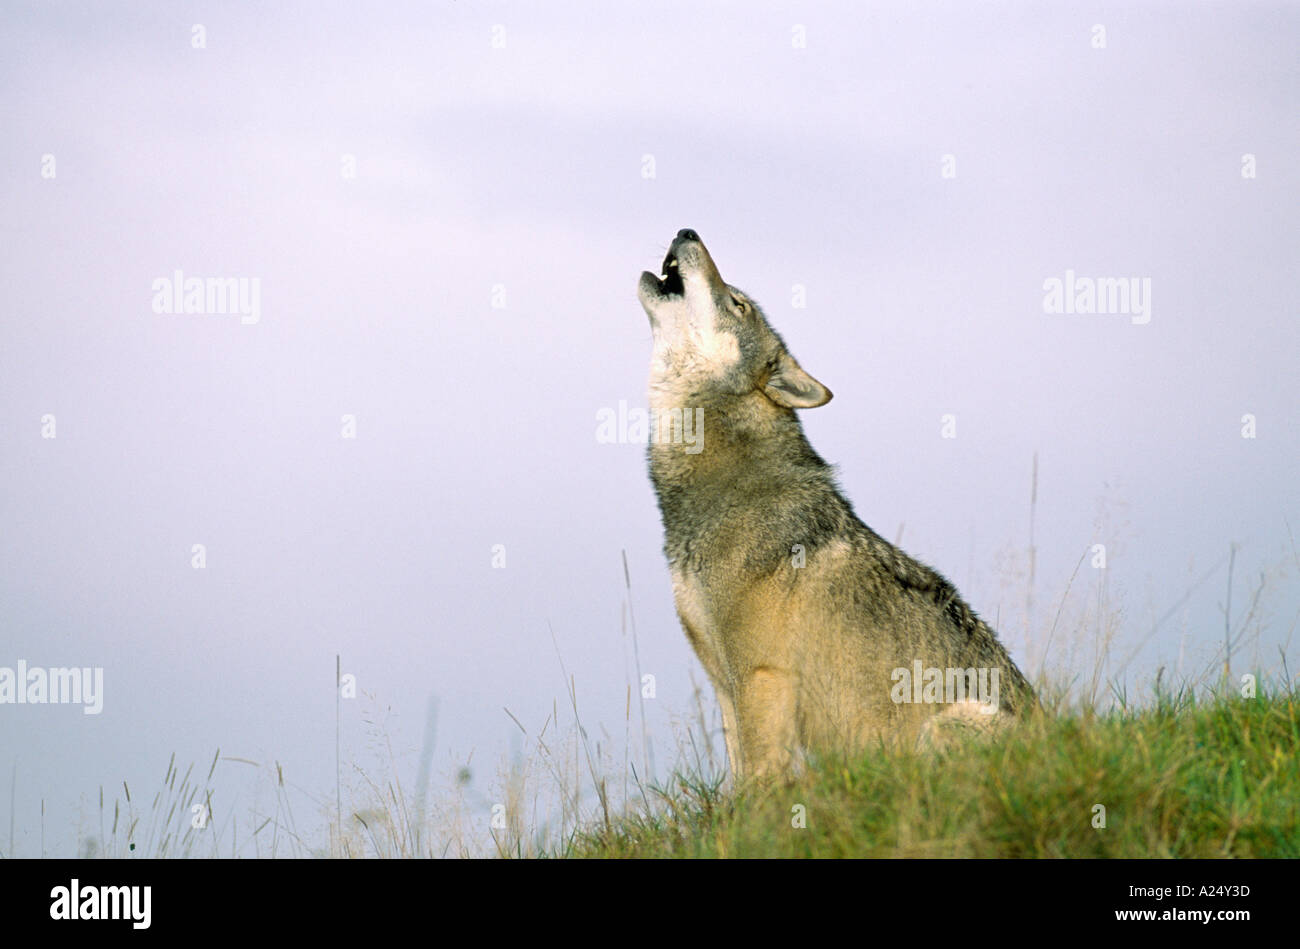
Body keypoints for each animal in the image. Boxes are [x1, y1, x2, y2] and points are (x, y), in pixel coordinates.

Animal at [637, 228, 1035, 782]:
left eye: (737, 303)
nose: (686, 232)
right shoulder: (723, 681)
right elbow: (738, 775)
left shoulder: (760, 674)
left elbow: (760, 777)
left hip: (943, 725)